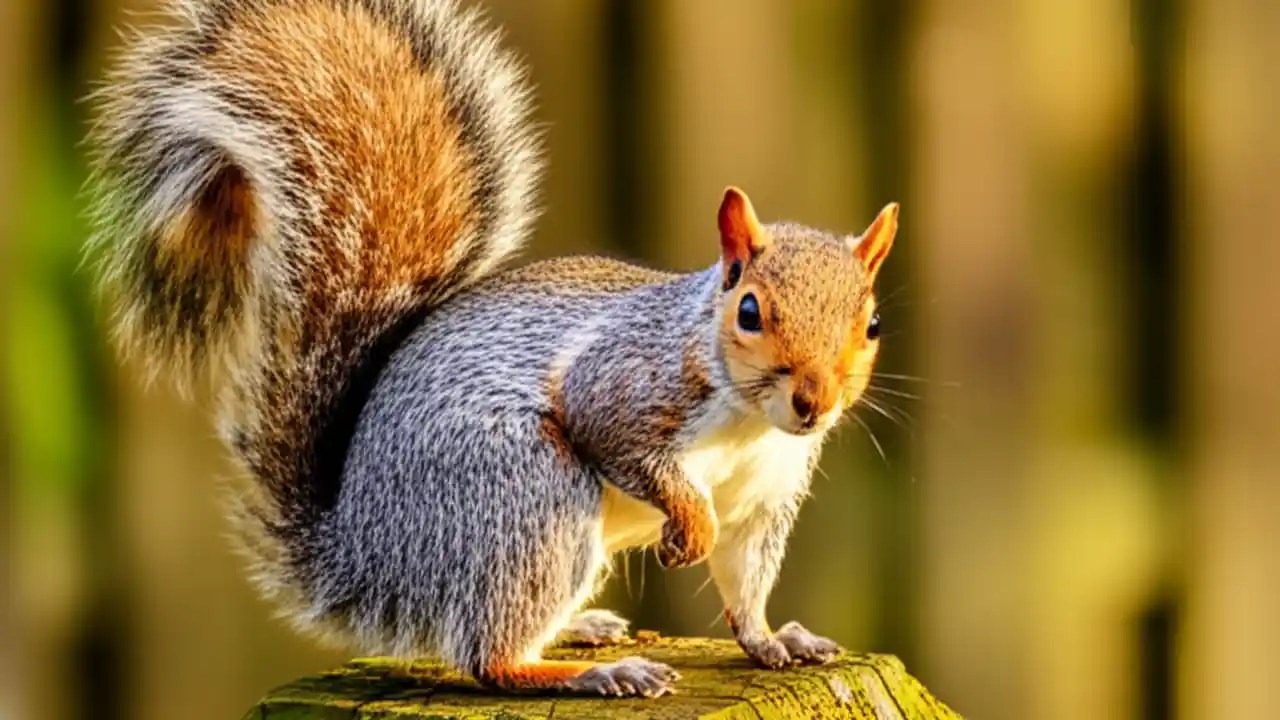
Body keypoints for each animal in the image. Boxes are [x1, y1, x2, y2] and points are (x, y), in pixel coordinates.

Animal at [86, 0, 899, 699]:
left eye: (872, 325)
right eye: (750, 310)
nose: (813, 402)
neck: (748, 423)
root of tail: (363, 555)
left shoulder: (762, 501)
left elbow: (746, 583)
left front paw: (773, 640)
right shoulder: (624, 386)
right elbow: (624, 444)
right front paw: (685, 534)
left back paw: (584, 632)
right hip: (527, 494)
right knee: (489, 657)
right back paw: (590, 673)